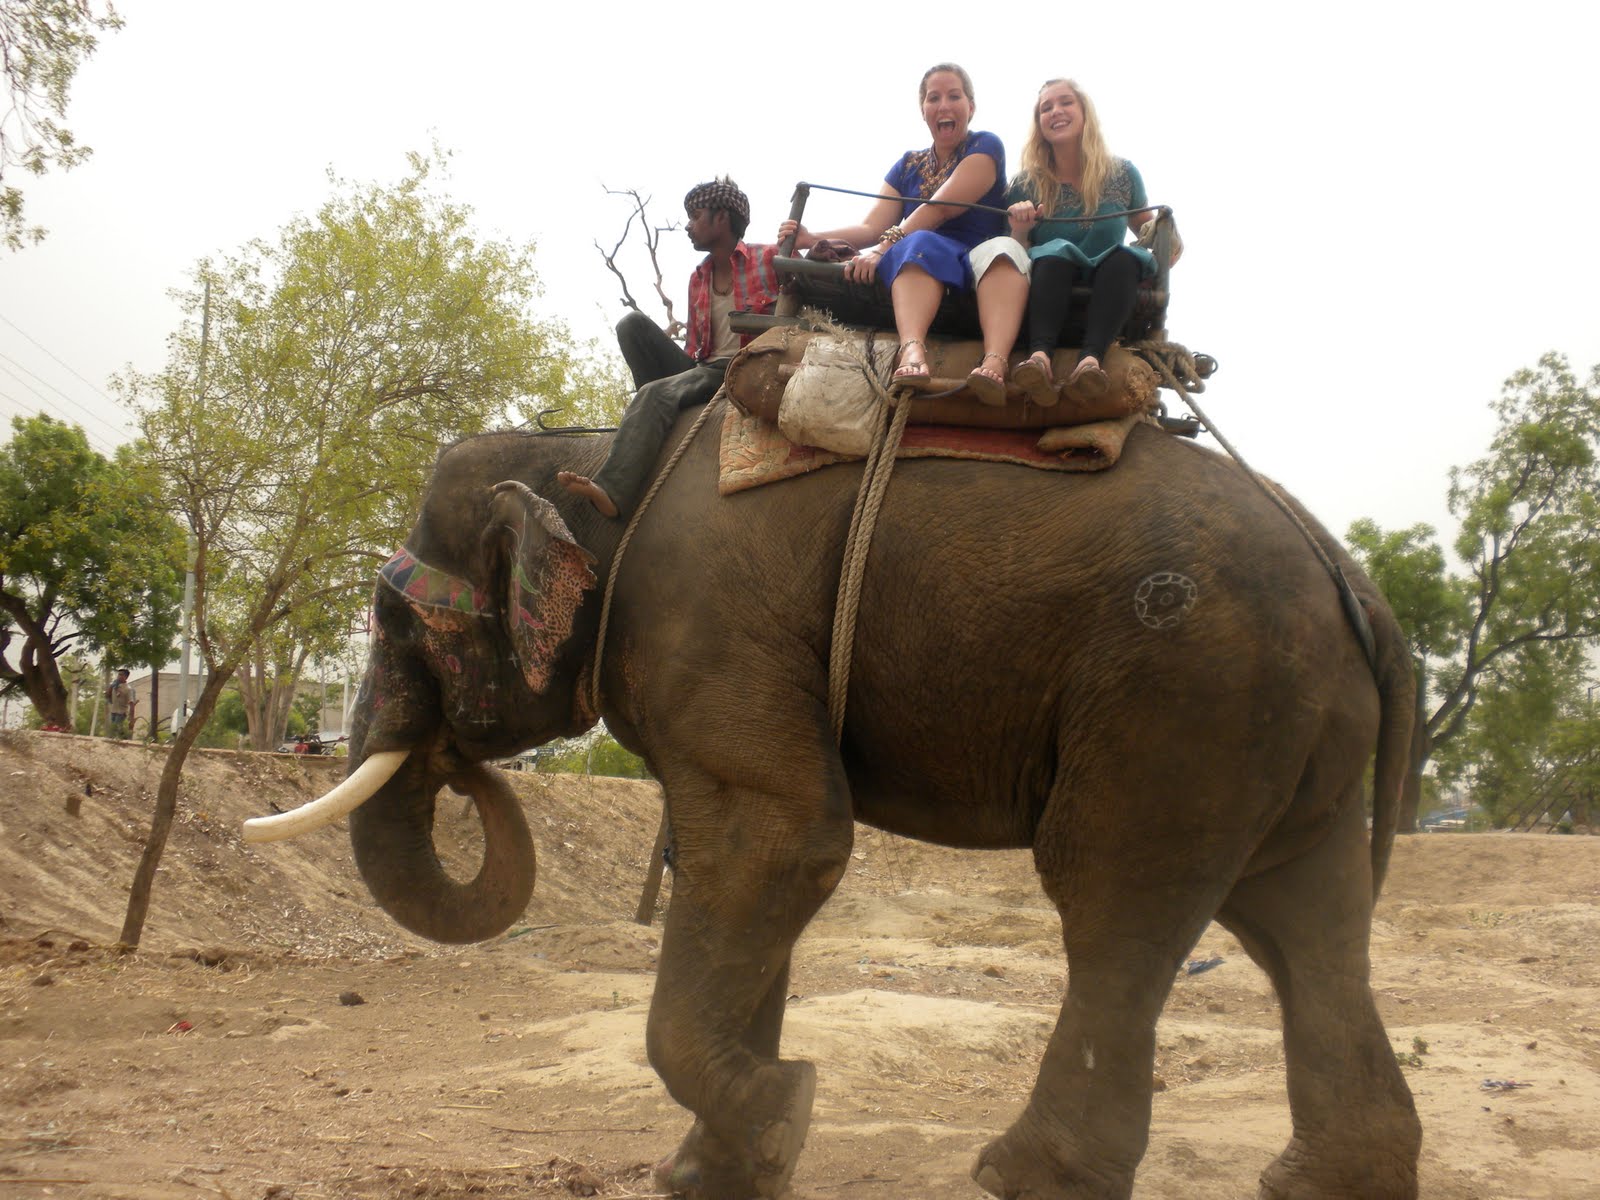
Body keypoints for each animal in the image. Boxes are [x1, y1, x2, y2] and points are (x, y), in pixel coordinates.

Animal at [246, 408, 1423, 1200]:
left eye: (396, 620)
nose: (452, 760)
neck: (595, 459)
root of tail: (1356, 587)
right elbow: (739, 865)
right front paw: (716, 1170)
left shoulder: (704, 615)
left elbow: (779, 838)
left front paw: (785, 1114)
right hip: (1279, 726)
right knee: (1303, 922)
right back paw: (1325, 1181)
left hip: (1181, 698)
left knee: (1116, 897)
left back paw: (1019, 1175)